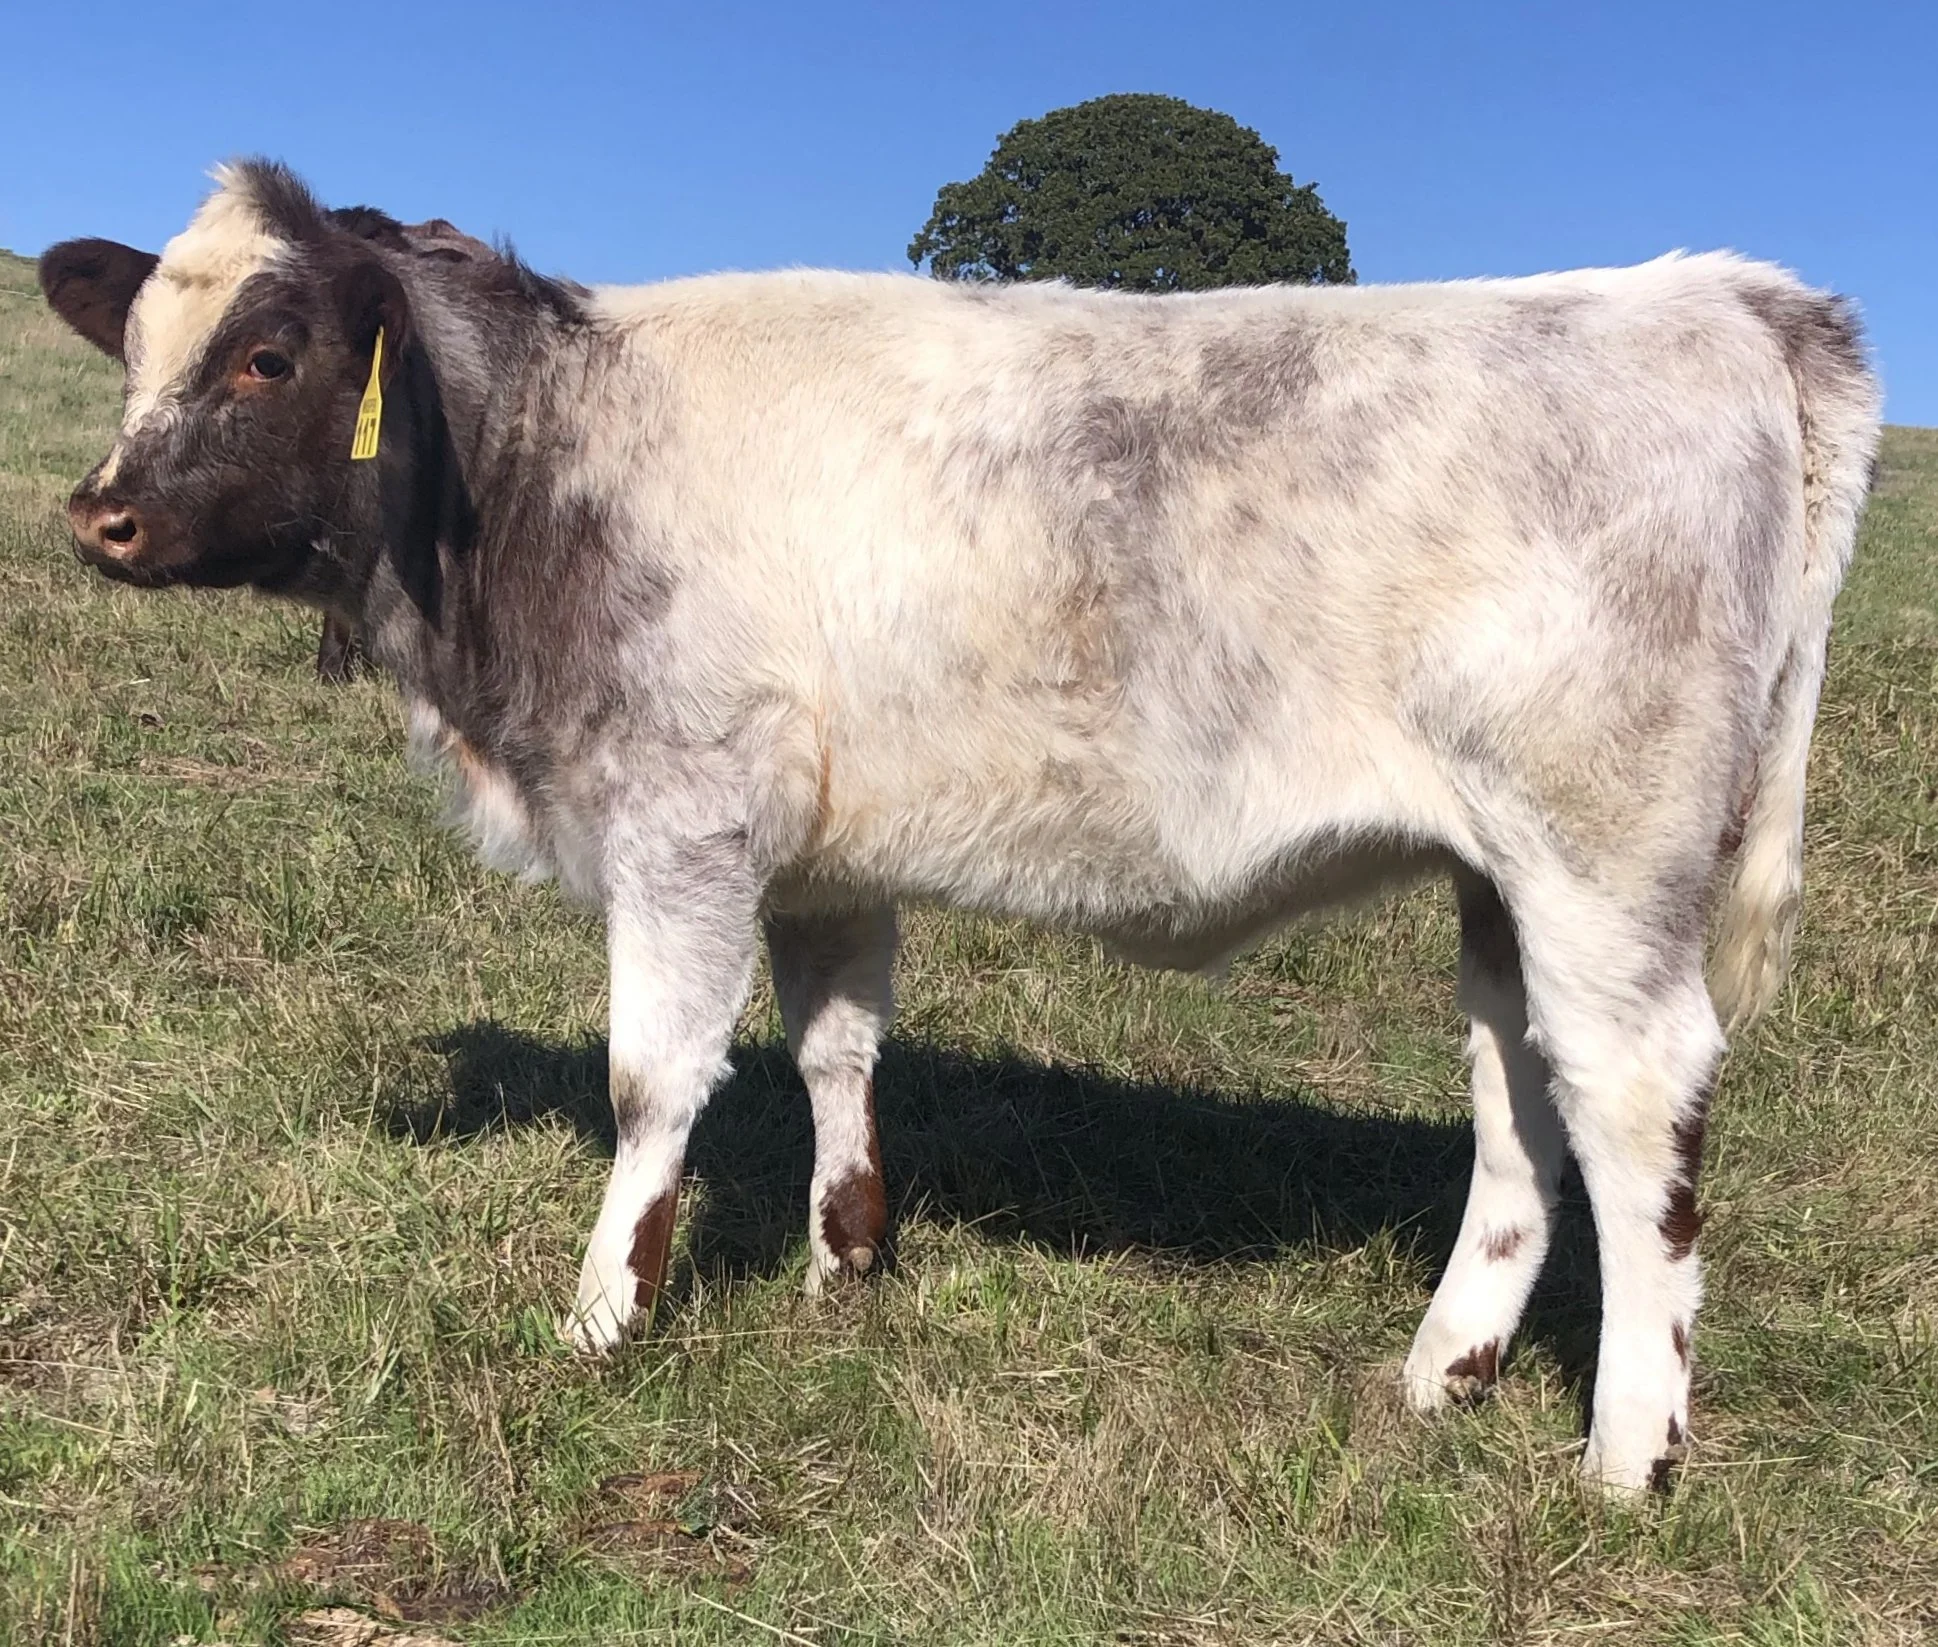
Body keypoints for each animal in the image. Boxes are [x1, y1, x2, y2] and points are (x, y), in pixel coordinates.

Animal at [38, 160, 1879, 1493]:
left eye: (268, 354)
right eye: (133, 349)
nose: (99, 516)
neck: (544, 465)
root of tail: (1712, 292)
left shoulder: (682, 823)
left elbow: (652, 1081)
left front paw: (602, 1315)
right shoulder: (820, 852)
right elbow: (837, 1044)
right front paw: (841, 1264)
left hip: (1600, 862)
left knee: (1636, 1112)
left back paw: (1625, 1453)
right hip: (1502, 882)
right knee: (1521, 1109)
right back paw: (1442, 1372)